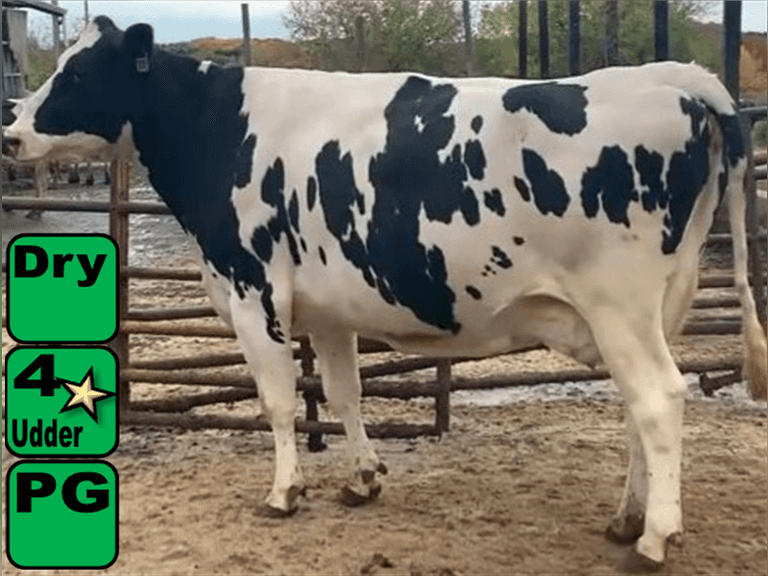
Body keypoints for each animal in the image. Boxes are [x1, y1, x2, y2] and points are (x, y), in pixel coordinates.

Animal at [3, 17, 766, 568]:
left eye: (77, 72)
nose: (10, 133)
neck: (218, 127)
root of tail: (672, 80)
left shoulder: (251, 290)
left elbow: (278, 401)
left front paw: (283, 493)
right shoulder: (328, 307)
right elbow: (342, 393)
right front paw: (362, 478)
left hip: (619, 304)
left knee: (659, 399)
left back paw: (654, 538)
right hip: (659, 304)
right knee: (641, 406)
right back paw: (627, 518)